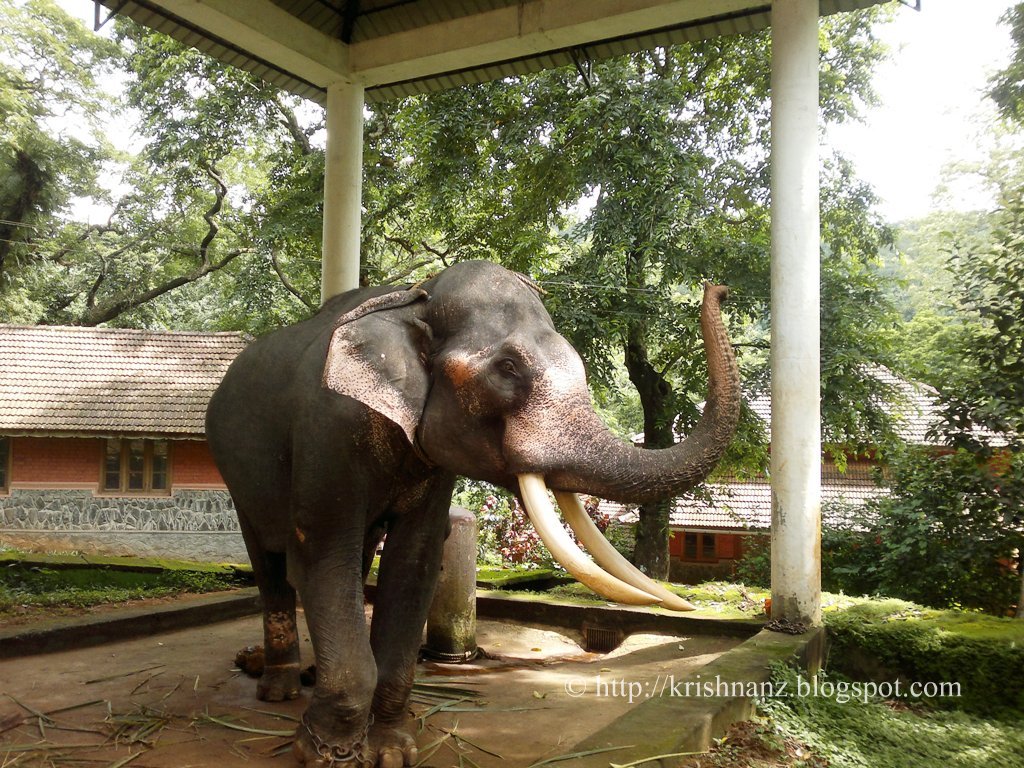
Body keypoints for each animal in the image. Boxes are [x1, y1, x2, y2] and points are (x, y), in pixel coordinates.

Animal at [205, 260, 740, 767]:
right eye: (507, 367)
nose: (718, 288)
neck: (414, 299)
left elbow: (413, 564)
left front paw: (390, 751)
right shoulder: (328, 427)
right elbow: (324, 556)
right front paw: (324, 755)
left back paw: (310, 676)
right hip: (235, 474)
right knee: (271, 563)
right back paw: (279, 689)